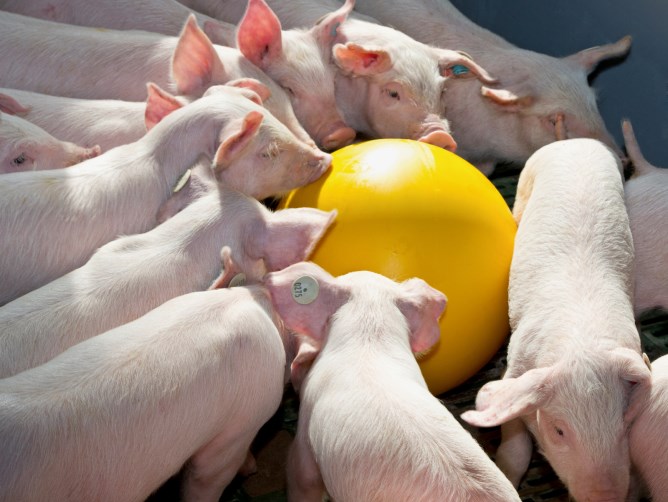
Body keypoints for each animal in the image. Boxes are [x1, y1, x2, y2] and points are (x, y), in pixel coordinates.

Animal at [461, 139, 652, 501]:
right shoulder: (516, 370)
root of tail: (574, 141)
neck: (580, 343)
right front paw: (508, 477)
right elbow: (515, 447)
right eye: (560, 430)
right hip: (525, 184)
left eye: (623, 424)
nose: (605, 496)